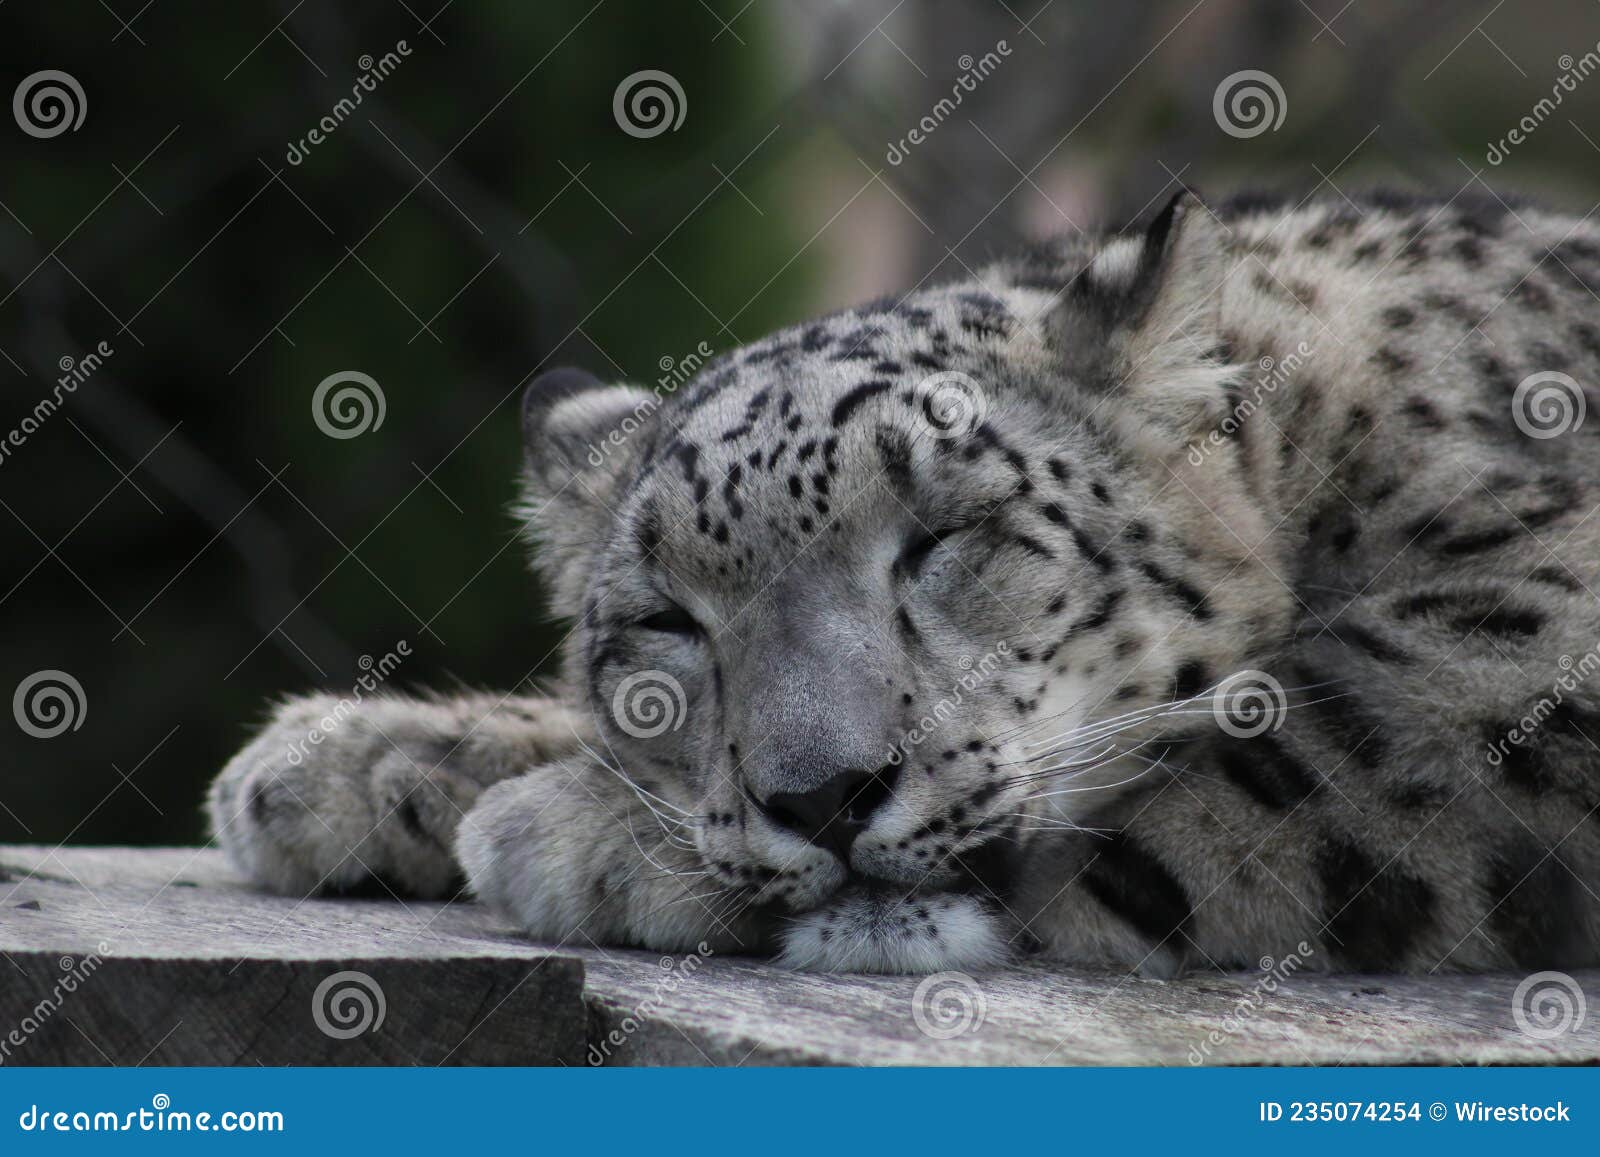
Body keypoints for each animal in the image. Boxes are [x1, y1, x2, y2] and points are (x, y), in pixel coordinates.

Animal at [209, 190, 1600, 976]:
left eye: (944, 535)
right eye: (667, 619)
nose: (821, 795)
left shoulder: (1536, 629)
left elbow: (1284, 750)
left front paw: (570, 836)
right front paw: (352, 762)